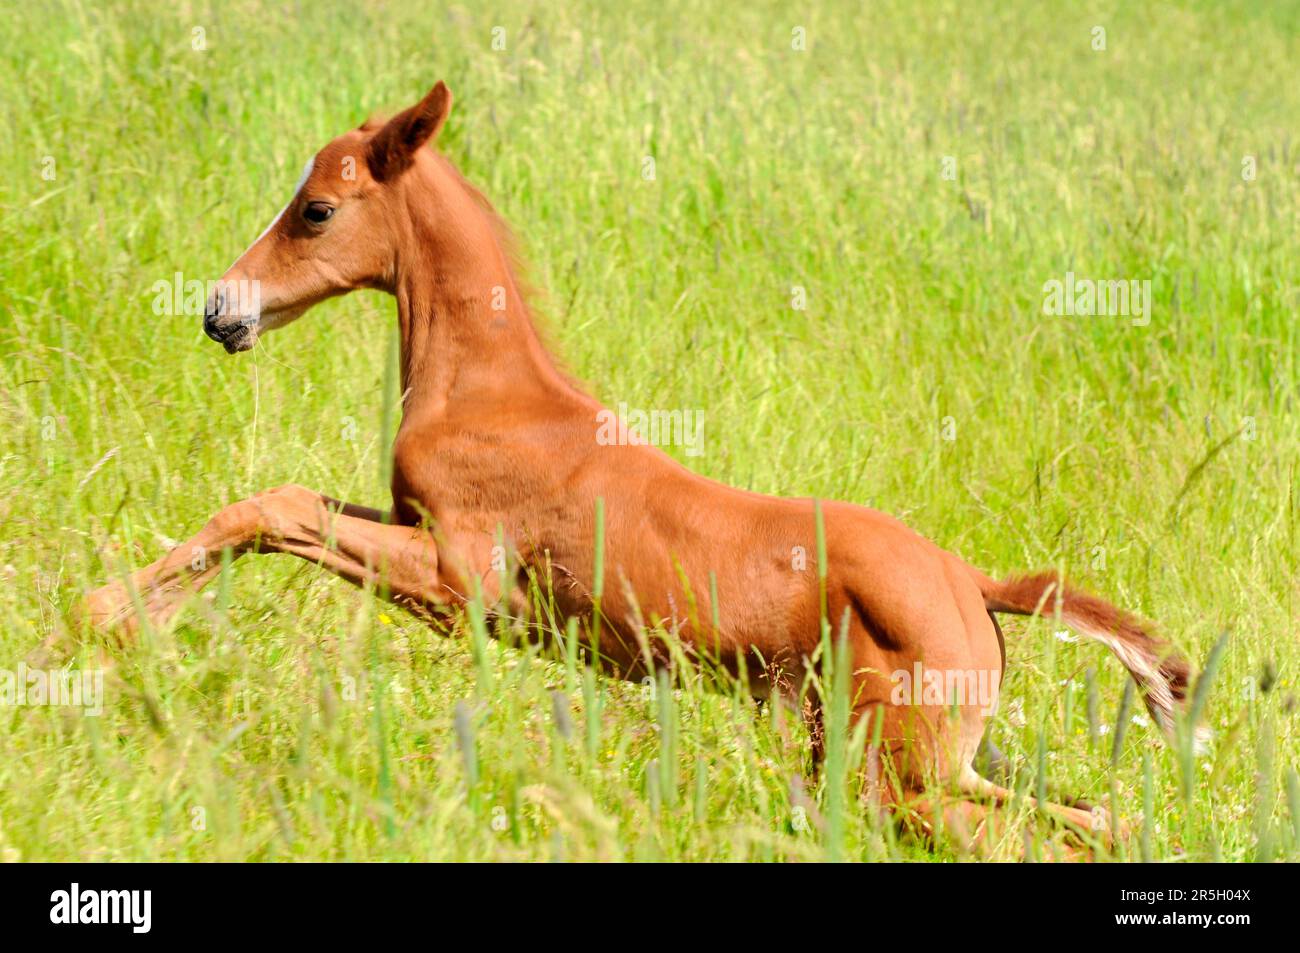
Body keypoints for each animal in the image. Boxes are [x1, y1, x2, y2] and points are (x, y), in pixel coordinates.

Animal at [75, 80, 1197, 850]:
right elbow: (287, 505)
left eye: (315, 209)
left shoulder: (463, 585)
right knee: (1089, 817)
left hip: (895, 770)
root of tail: (975, 581)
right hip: (921, 757)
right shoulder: (411, 530)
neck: (493, 394)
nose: (220, 310)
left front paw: (109, 612)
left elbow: (272, 508)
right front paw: (125, 618)